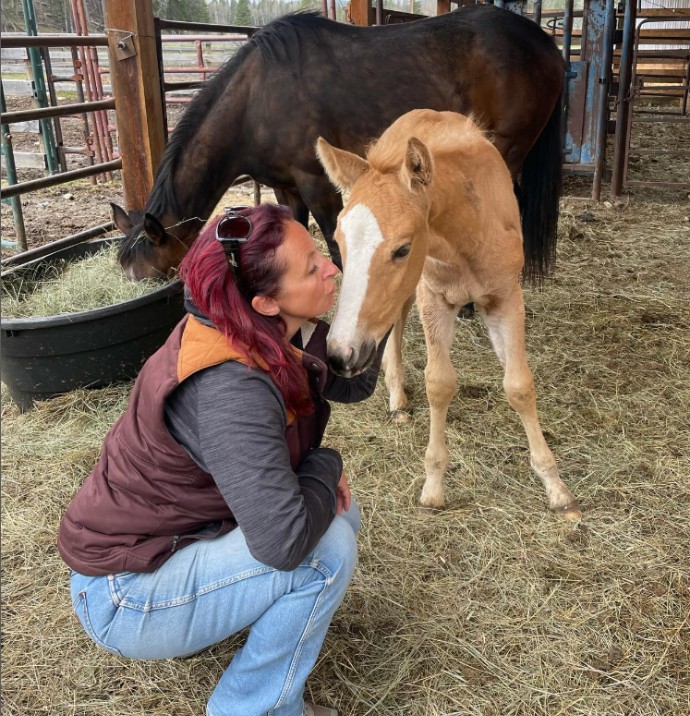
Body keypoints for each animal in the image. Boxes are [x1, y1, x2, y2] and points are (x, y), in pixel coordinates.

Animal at [111, 5, 564, 282]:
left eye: (151, 277)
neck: (256, 97)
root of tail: (544, 42)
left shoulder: (316, 181)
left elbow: (334, 244)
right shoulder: (286, 187)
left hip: (504, 149)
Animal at [316, 109, 580, 520]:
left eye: (403, 248)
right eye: (339, 242)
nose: (341, 355)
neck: (467, 233)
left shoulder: (506, 297)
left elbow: (519, 384)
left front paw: (558, 489)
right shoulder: (434, 297)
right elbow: (439, 383)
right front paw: (434, 486)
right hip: (411, 291)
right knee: (395, 327)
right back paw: (397, 400)